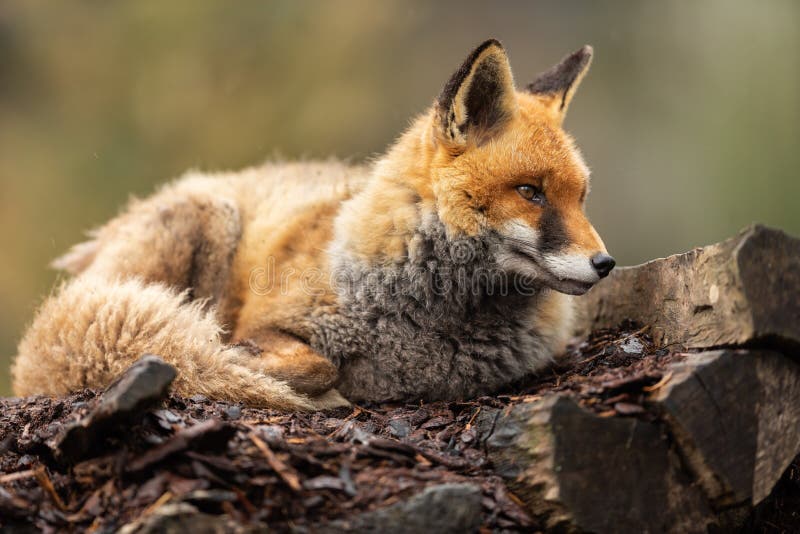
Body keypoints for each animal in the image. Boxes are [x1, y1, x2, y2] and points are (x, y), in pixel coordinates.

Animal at [12, 39, 614, 411]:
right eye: (530, 192)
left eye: (582, 198)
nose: (605, 264)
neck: (428, 324)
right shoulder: (270, 321)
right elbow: (317, 366)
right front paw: (239, 362)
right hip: (209, 217)